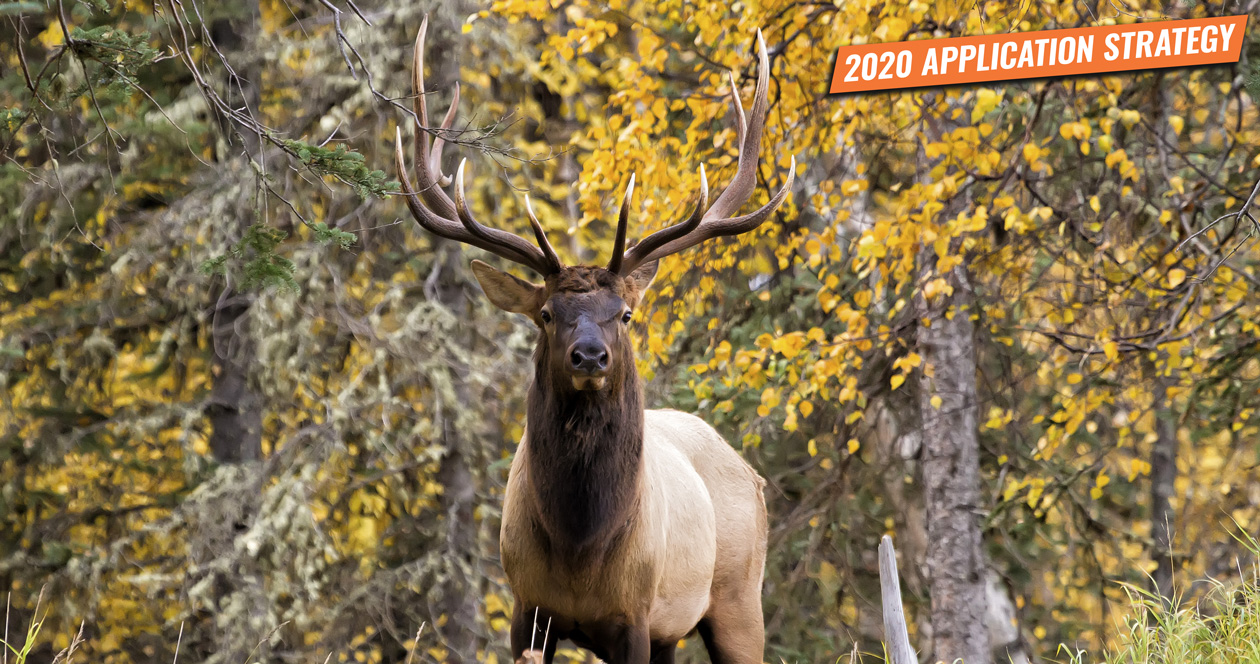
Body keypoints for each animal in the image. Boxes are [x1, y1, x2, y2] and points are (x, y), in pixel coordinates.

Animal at [391, 18, 794, 664]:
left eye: (625, 314)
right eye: (547, 314)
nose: (589, 355)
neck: (581, 548)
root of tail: (750, 473)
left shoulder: (634, 615)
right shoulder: (527, 608)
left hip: (737, 598)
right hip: (677, 630)